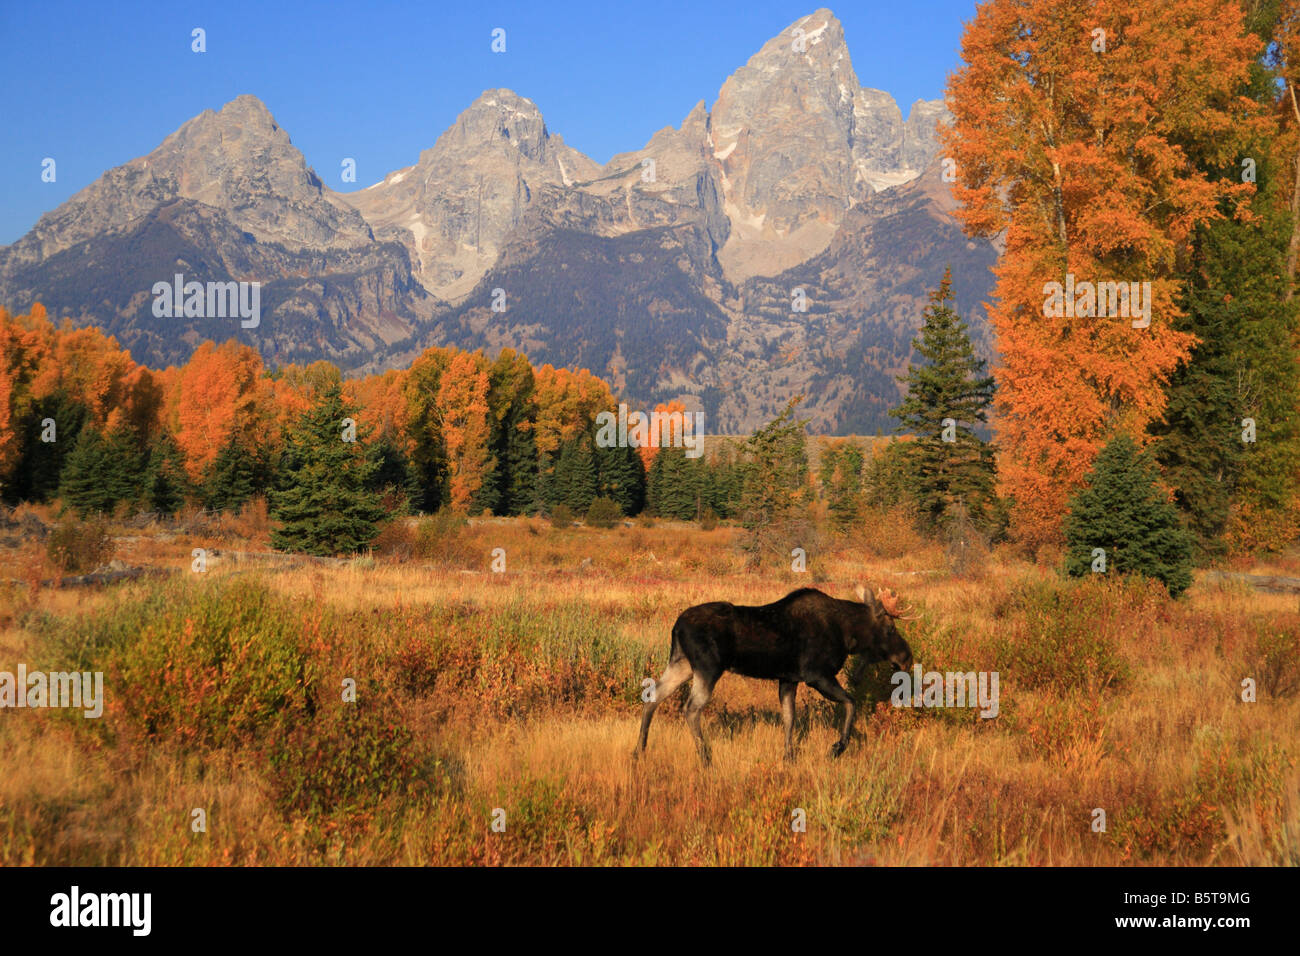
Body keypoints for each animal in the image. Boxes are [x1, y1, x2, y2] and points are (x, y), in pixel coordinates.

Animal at [634, 586, 915, 765]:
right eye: (890, 628)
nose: (907, 658)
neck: (848, 634)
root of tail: (676, 626)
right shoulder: (816, 675)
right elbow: (851, 703)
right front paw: (837, 748)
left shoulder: (788, 679)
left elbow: (789, 719)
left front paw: (788, 757)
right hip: (708, 667)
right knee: (691, 708)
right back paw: (705, 758)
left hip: (681, 664)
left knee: (653, 697)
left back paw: (639, 750)